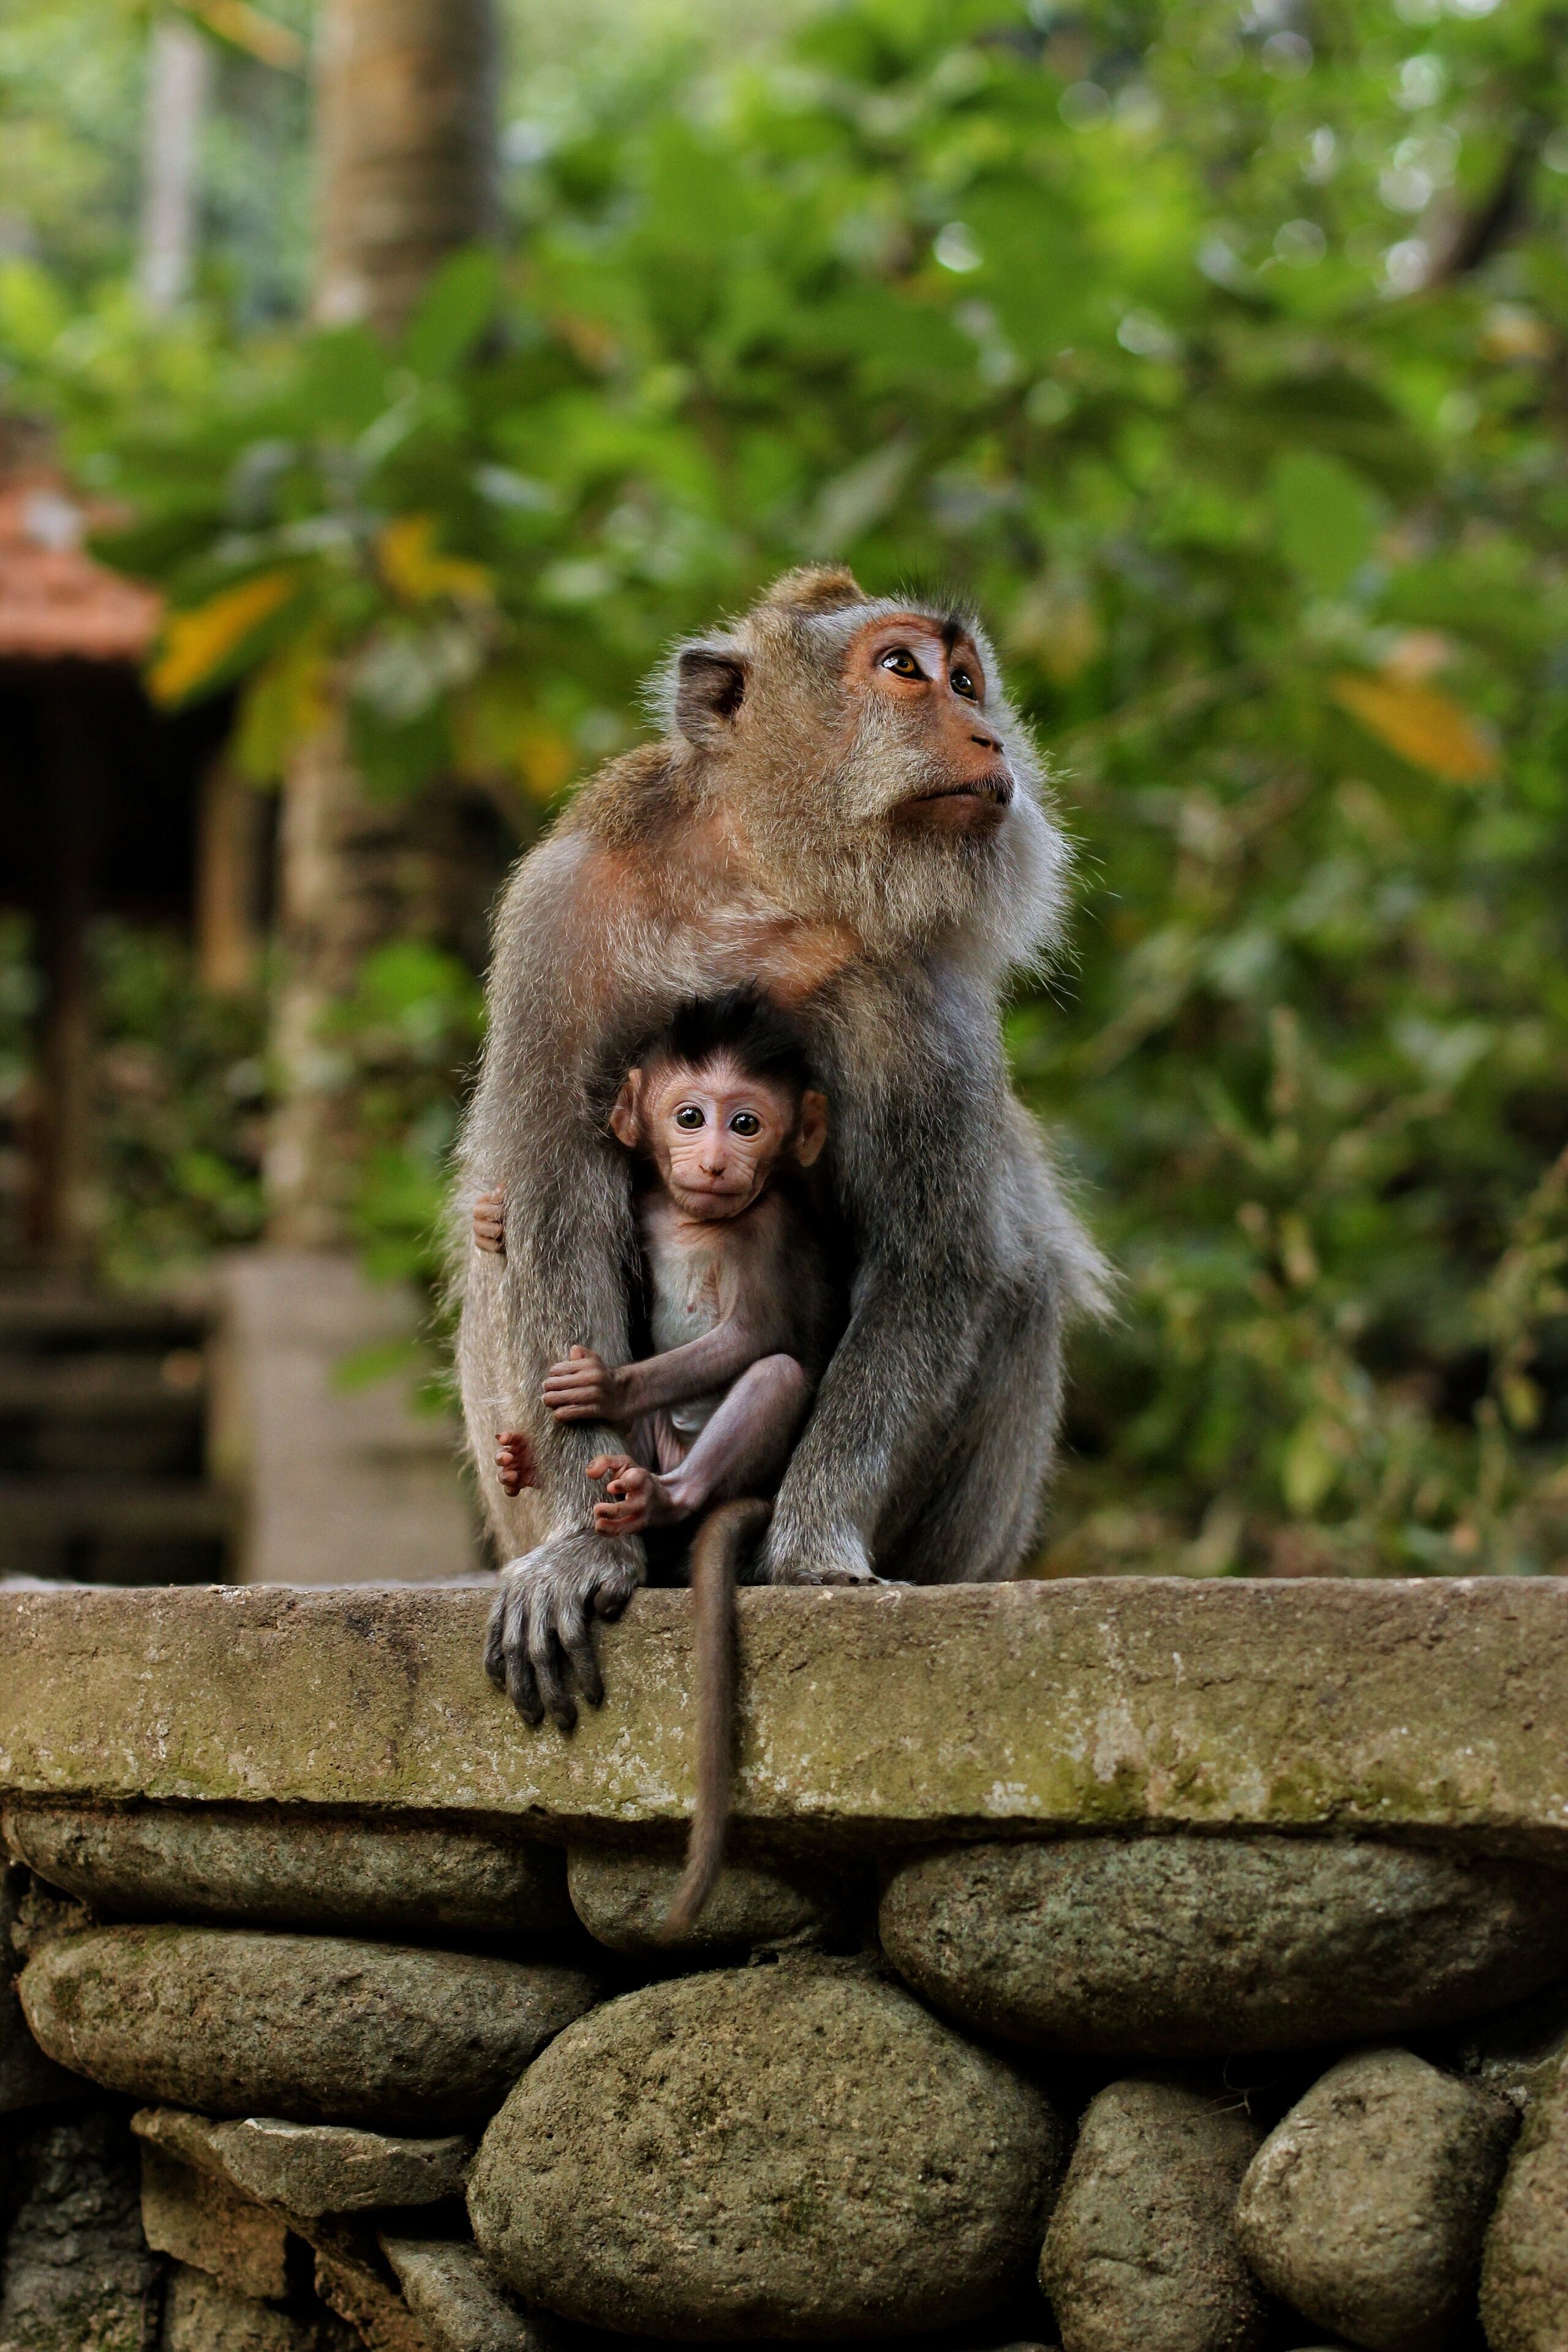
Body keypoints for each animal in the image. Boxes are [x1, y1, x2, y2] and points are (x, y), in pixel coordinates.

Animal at [456, 564, 1108, 1741]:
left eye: (968, 679)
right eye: (904, 669)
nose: (988, 734)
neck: (756, 882)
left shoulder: (918, 987)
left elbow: (938, 1257)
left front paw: (813, 1545)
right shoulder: (561, 918)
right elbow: (548, 1204)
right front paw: (580, 1549)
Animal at [474, 987, 841, 1926]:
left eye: (747, 1122)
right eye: (688, 1117)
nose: (714, 1160)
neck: (693, 1215)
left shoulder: (768, 1222)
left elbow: (757, 1335)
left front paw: (602, 1390)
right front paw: (492, 1226)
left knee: (775, 1374)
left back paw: (661, 1501)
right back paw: (526, 1463)